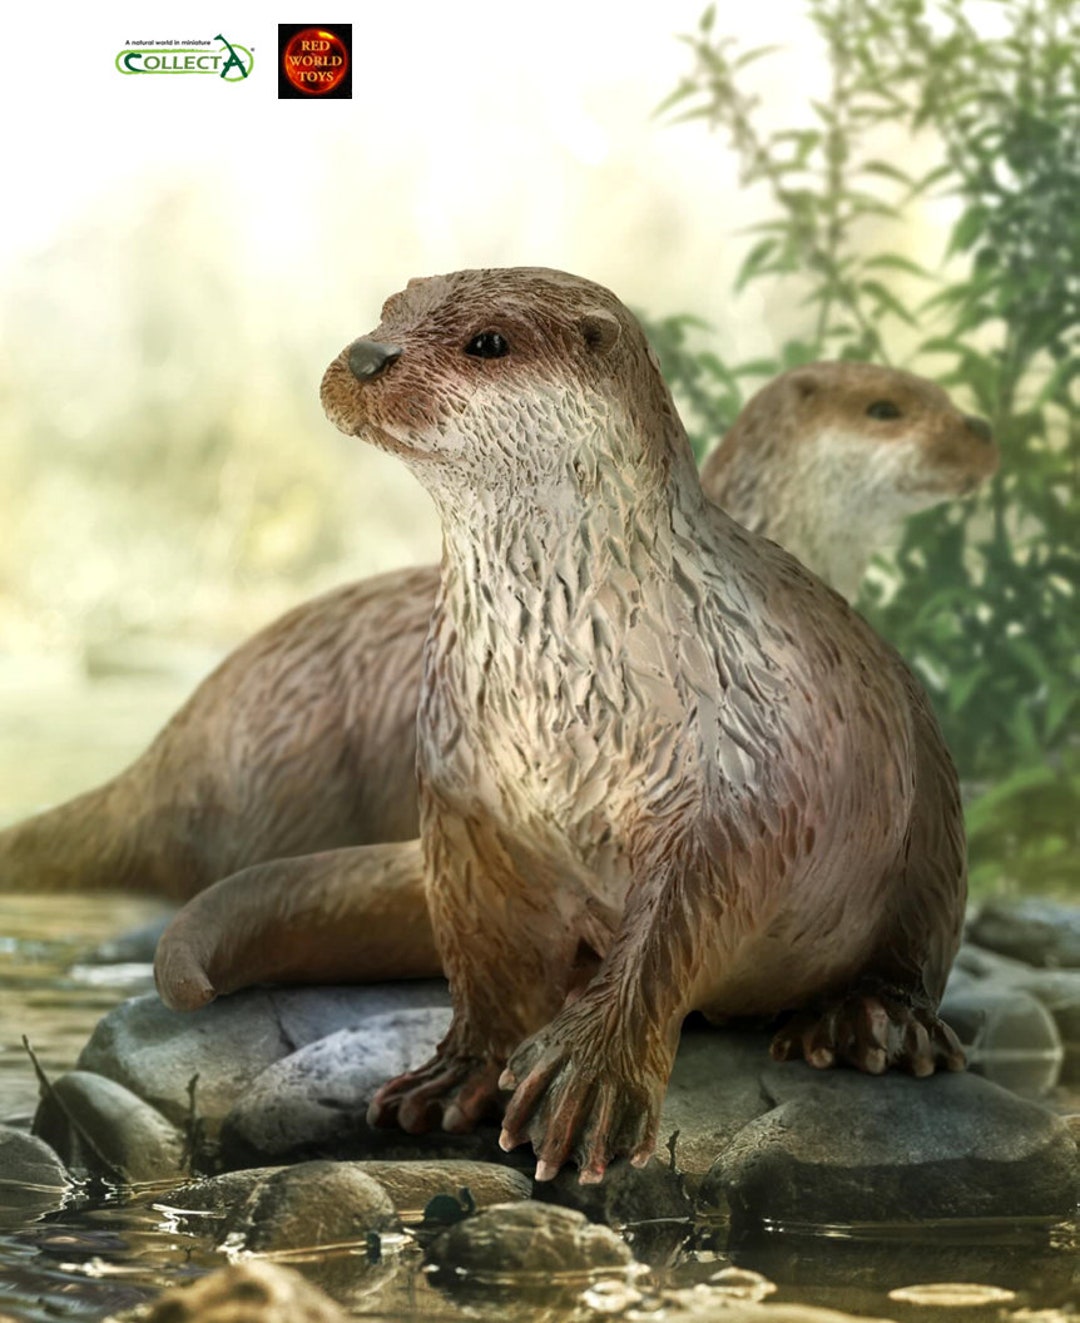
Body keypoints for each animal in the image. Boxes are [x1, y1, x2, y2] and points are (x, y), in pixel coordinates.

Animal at [313, 266, 966, 1184]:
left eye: (487, 342)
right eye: (388, 309)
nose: (369, 355)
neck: (561, 682)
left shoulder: (736, 770)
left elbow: (675, 926)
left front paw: (588, 1076)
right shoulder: (464, 795)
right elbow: (485, 949)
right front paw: (454, 1074)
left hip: (931, 824)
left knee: (915, 945)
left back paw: (872, 1025)